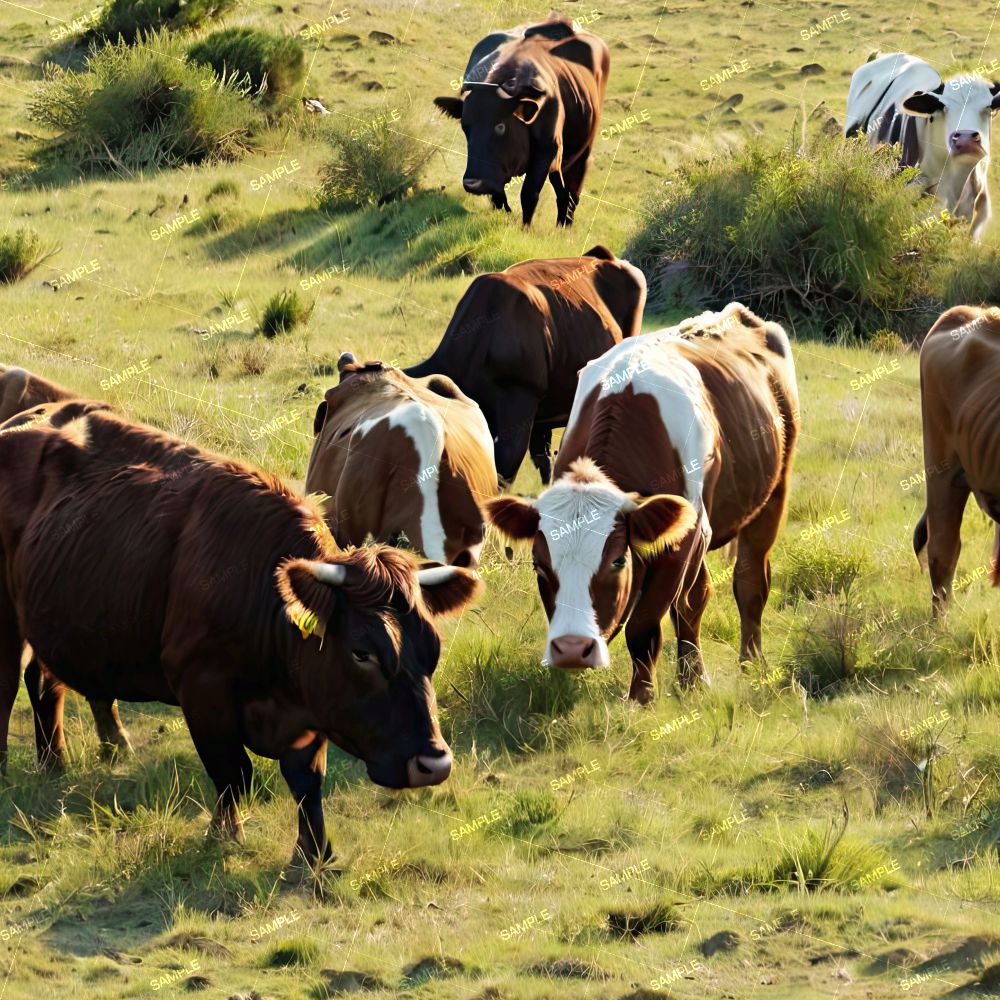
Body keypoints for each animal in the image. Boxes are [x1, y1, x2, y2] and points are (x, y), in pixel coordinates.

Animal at [433, 18, 609, 227]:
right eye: (465, 127)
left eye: (500, 126)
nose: (473, 183)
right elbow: (498, 196)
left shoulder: (547, 150)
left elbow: (529, 194)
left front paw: (525, 228)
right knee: (561, 188)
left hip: (582, 152)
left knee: (573, 189)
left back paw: (565, 224)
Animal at [486, 303, 799, 703]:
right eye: (539, 566)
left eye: (618, 561)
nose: (572, 648)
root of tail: (736, 313)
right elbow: (680, 608)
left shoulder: (683, 540)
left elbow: (644, 627)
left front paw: (640, 698)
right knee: (695, 599)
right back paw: (694, 676)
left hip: (773, 493)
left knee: (749, 582)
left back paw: (750, 663)